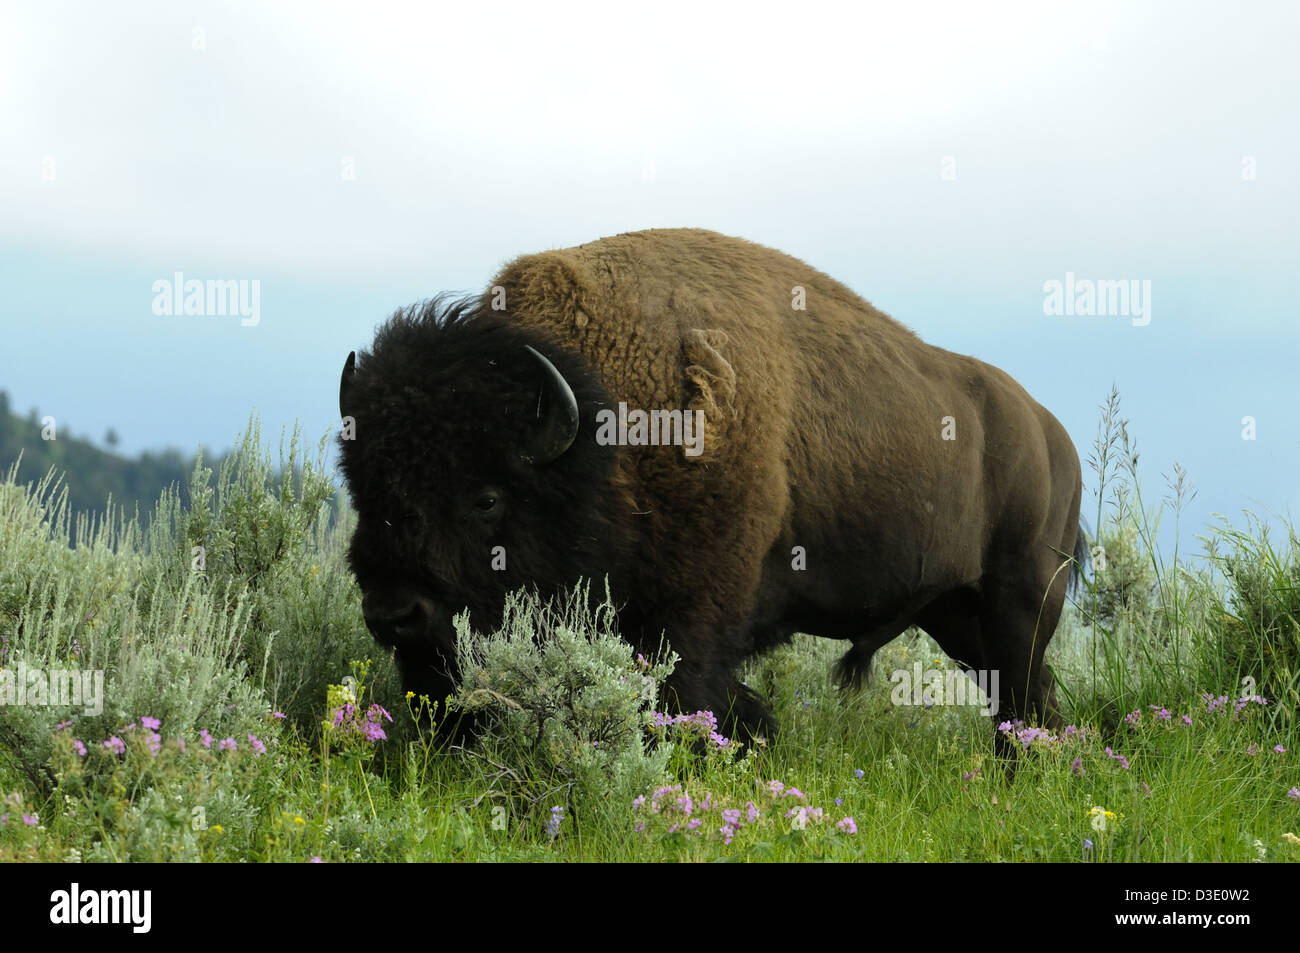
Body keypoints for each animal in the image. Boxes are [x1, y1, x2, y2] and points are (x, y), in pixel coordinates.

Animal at [337, 228, 1085, 748]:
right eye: (365, 488)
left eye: (487, 496)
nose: (394, 613)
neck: (604, 426)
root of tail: (1055, 435)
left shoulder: (695, 610)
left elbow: (685, 693)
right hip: (957, 613)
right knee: (1027, 691)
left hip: (1020, 596)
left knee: (1022, 694)